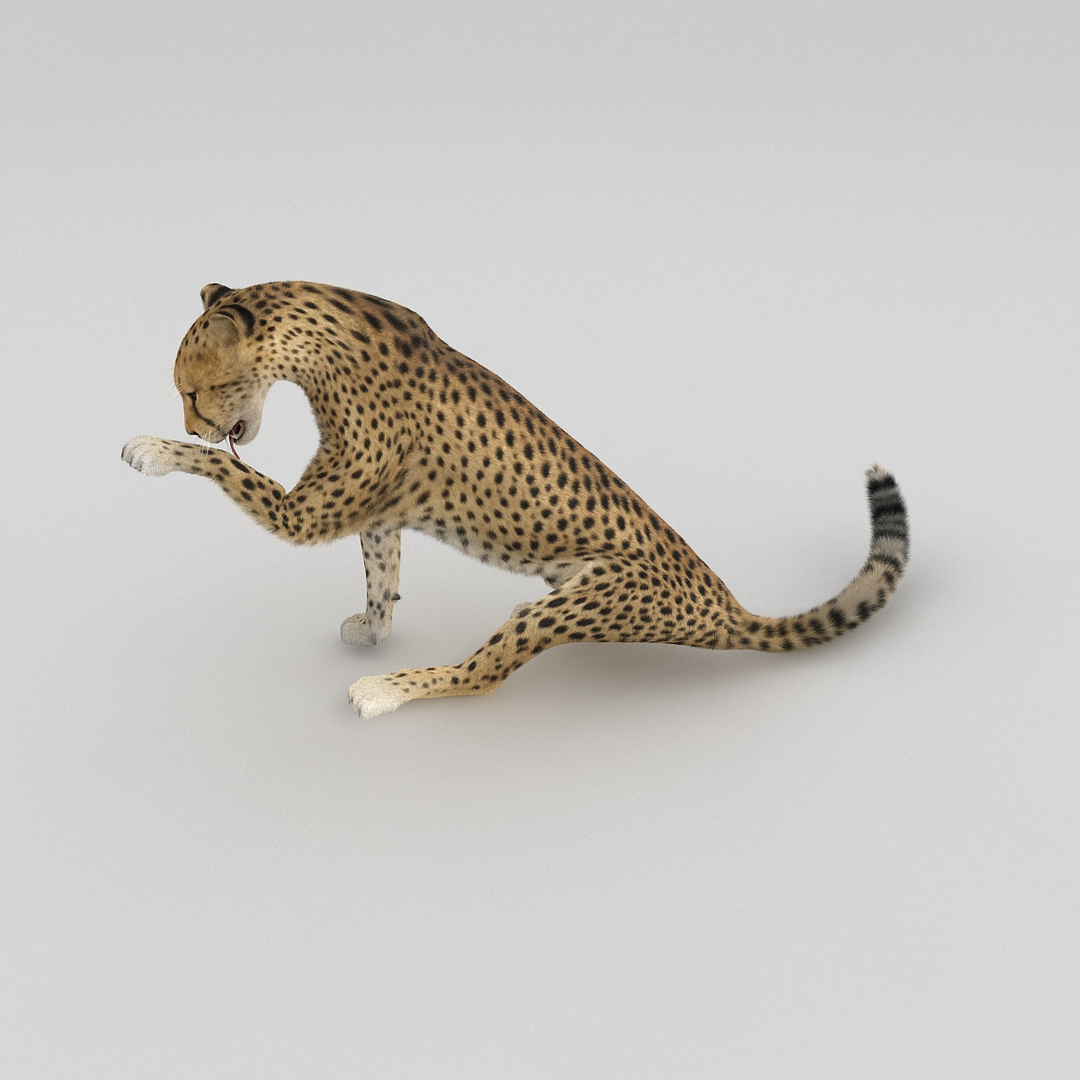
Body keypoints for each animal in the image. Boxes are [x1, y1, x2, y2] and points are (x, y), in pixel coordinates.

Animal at [122, 281, 909, 718]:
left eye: (193, 392)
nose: (194, 422)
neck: (319, 338)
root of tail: (725, 605)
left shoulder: (307, 514)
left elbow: (224, 472)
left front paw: (153, 449)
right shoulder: (379, 511)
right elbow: (381, 571)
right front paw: (373, 625)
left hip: (573, 602)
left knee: (483, 676)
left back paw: (386, 690)